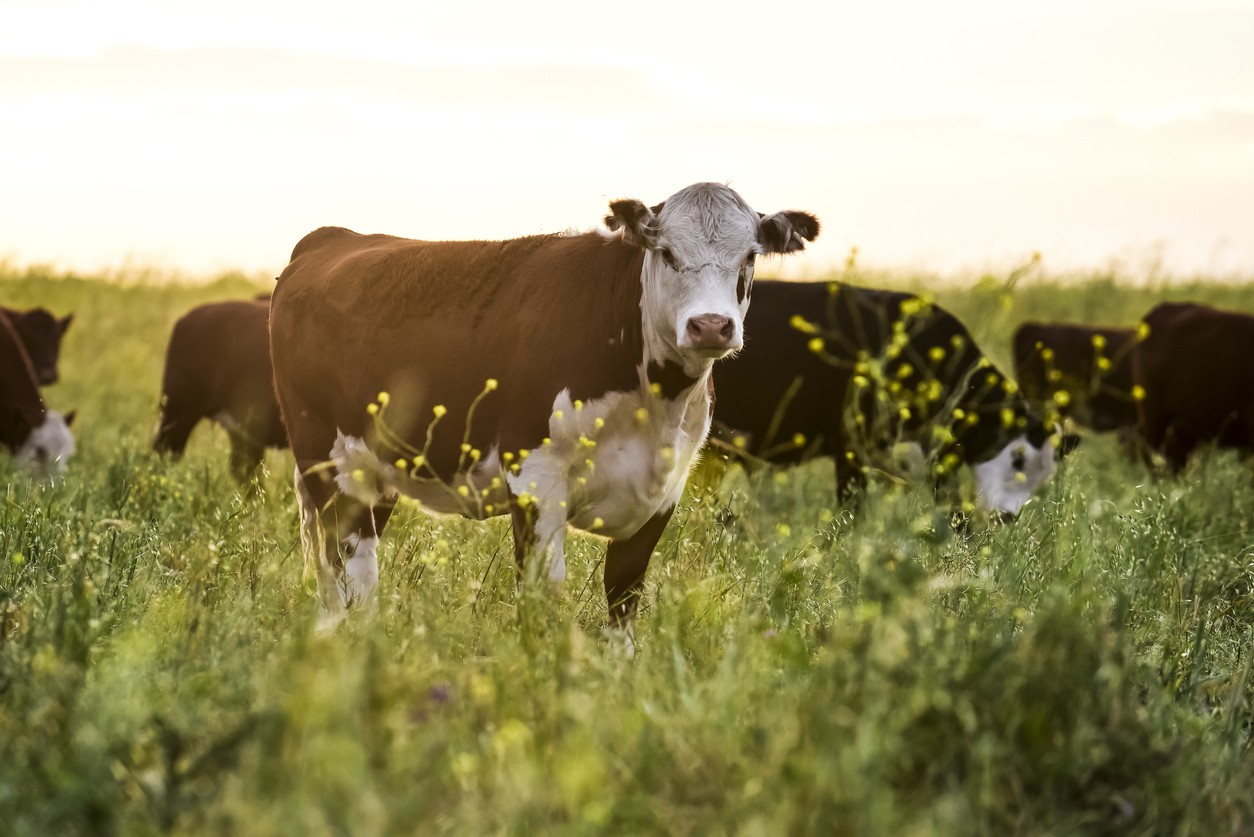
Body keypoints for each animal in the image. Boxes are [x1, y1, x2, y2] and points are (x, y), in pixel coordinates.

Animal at [269, 183, 820, 637]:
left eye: (749, 256)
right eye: (666, 253)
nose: (710, 325)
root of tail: (331, 238)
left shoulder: (665, 488)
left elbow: (623, 598)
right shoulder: (535, 476)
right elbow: (543, 599)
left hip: (375, 471)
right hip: (327, 460)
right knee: (349, 569)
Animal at [711, 281, 1077, 516]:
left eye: (1045, 477)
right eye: (1017, 458)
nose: (1006, 517)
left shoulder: (937, 456)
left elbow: (954, 511)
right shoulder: (852, 446)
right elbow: (851, 510)